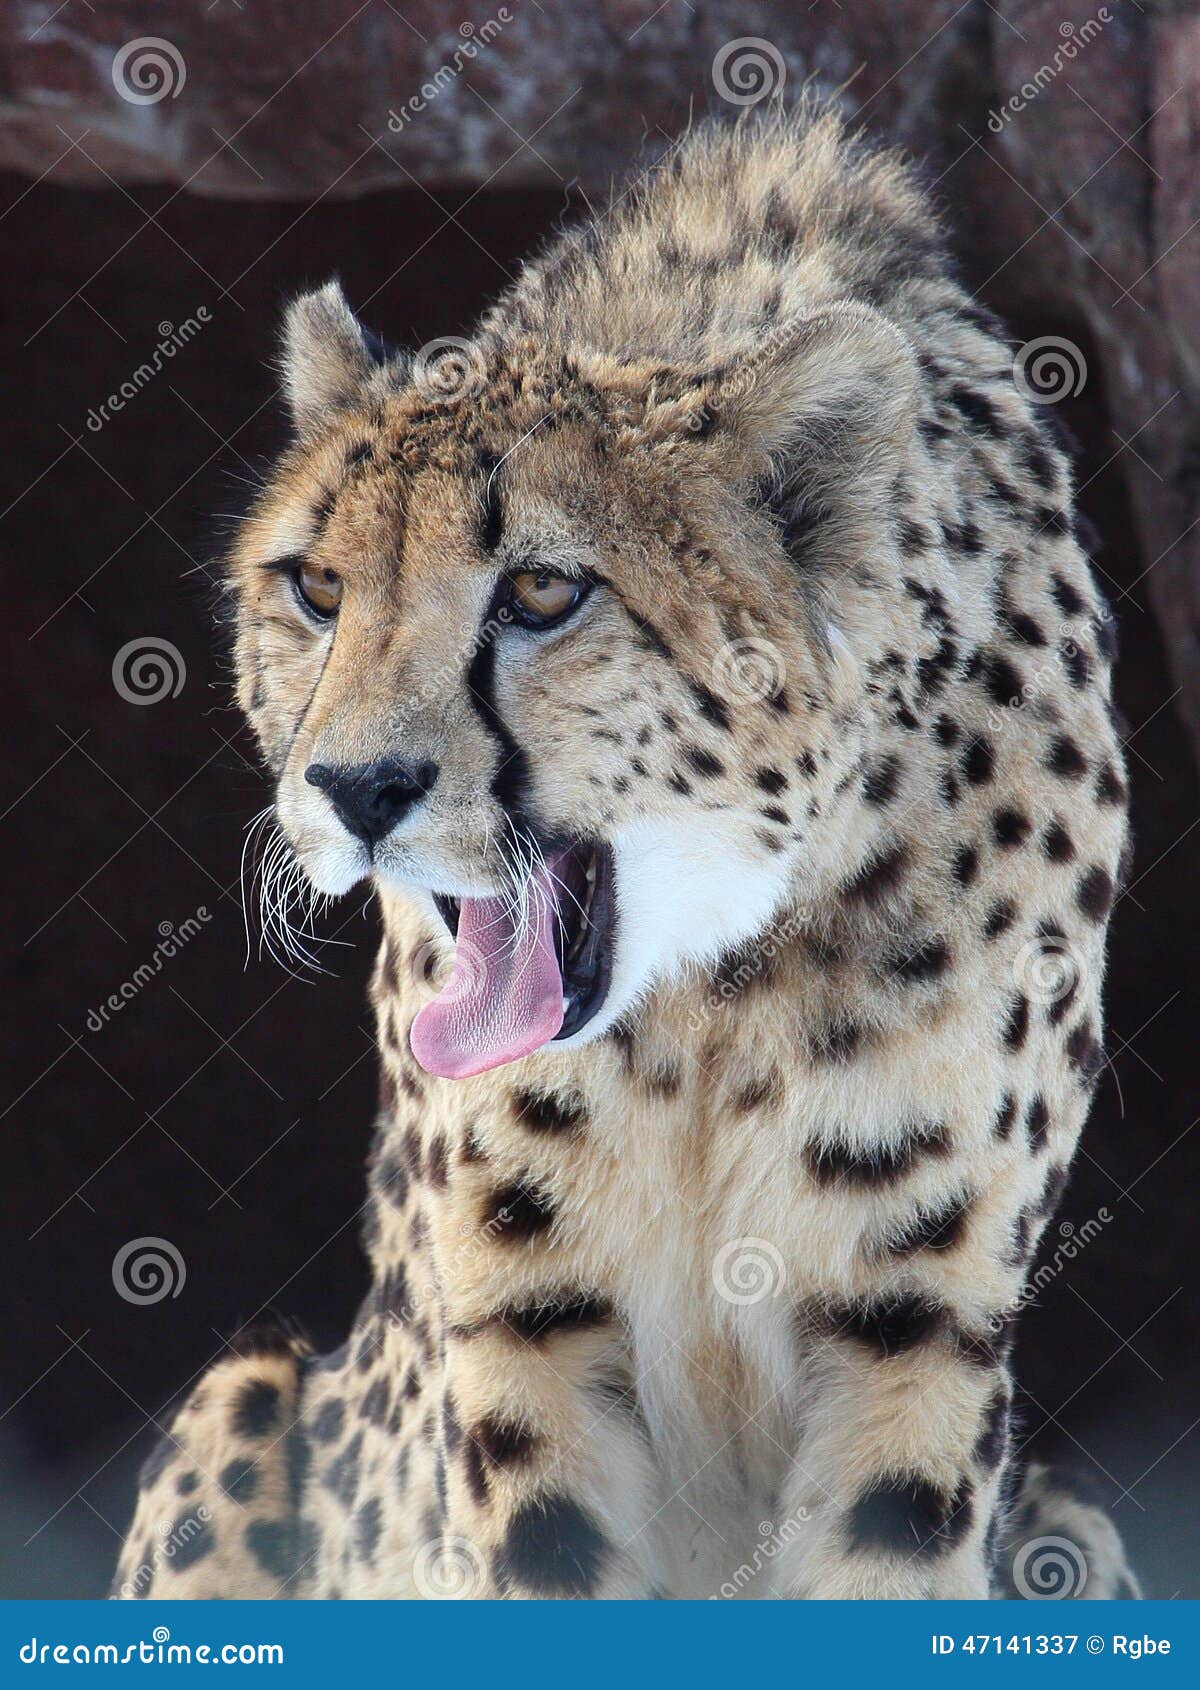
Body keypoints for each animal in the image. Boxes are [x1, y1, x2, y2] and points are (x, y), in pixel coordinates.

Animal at [113, 102, 1141, 1601]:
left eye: (544, 591)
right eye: (317, 586)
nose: (356, 789)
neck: (712, 999)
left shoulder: (914, 1329)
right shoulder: (519, 1336)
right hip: (246, 1395)